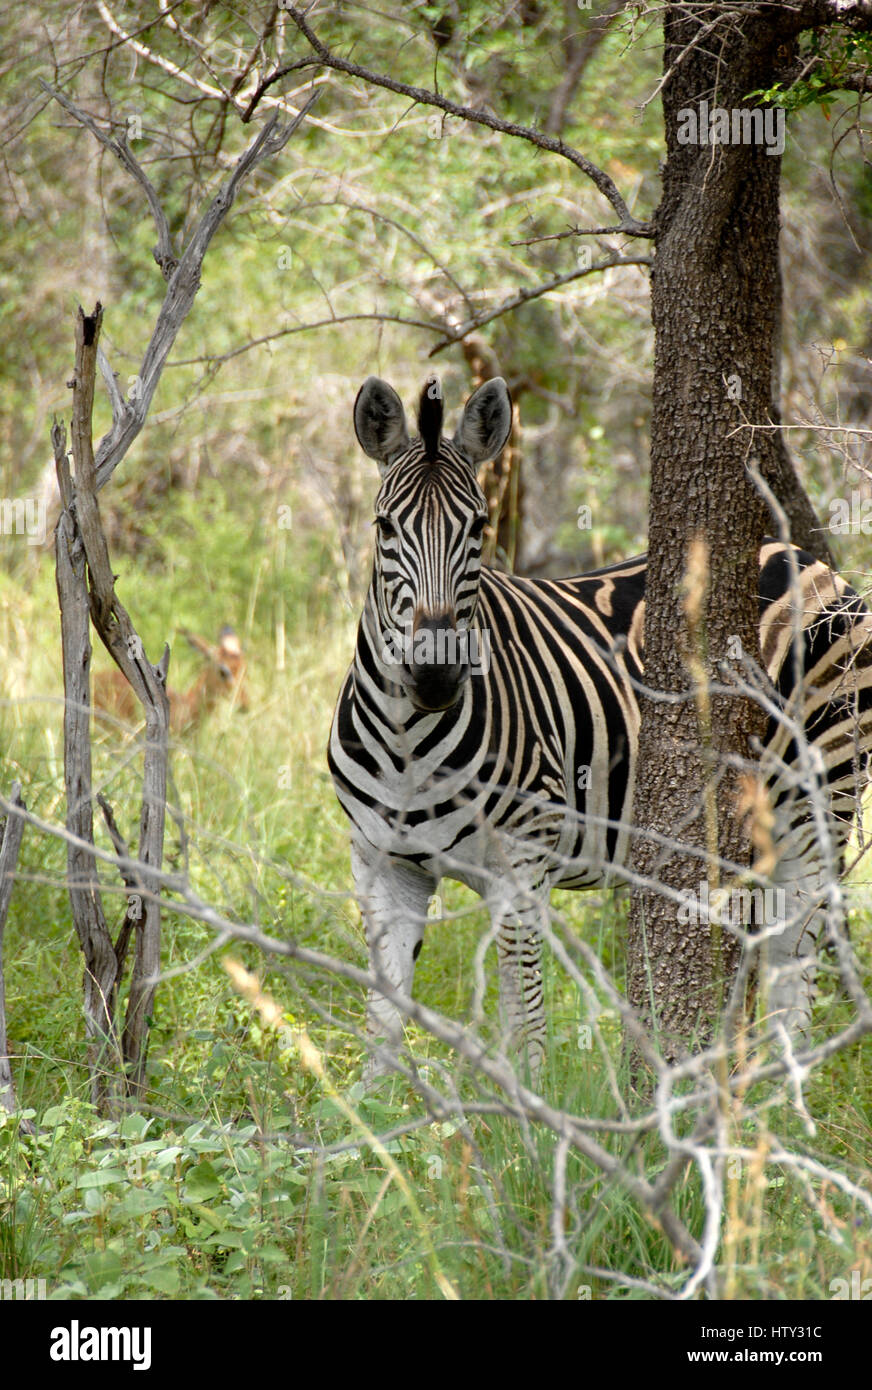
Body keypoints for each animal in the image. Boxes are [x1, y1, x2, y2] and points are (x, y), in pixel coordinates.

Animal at [328, 374, 872, 1075]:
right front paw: (382, 1101)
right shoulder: (382, 865)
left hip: (817, 794)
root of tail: (802, 556)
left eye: (479, 526)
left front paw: (527, 1104)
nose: (436, 678)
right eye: (384, 526)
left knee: (792, 958)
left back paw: (779, 1089)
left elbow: (524, 1018)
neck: (406, 745)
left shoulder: (523, 861)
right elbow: (385, 1019)